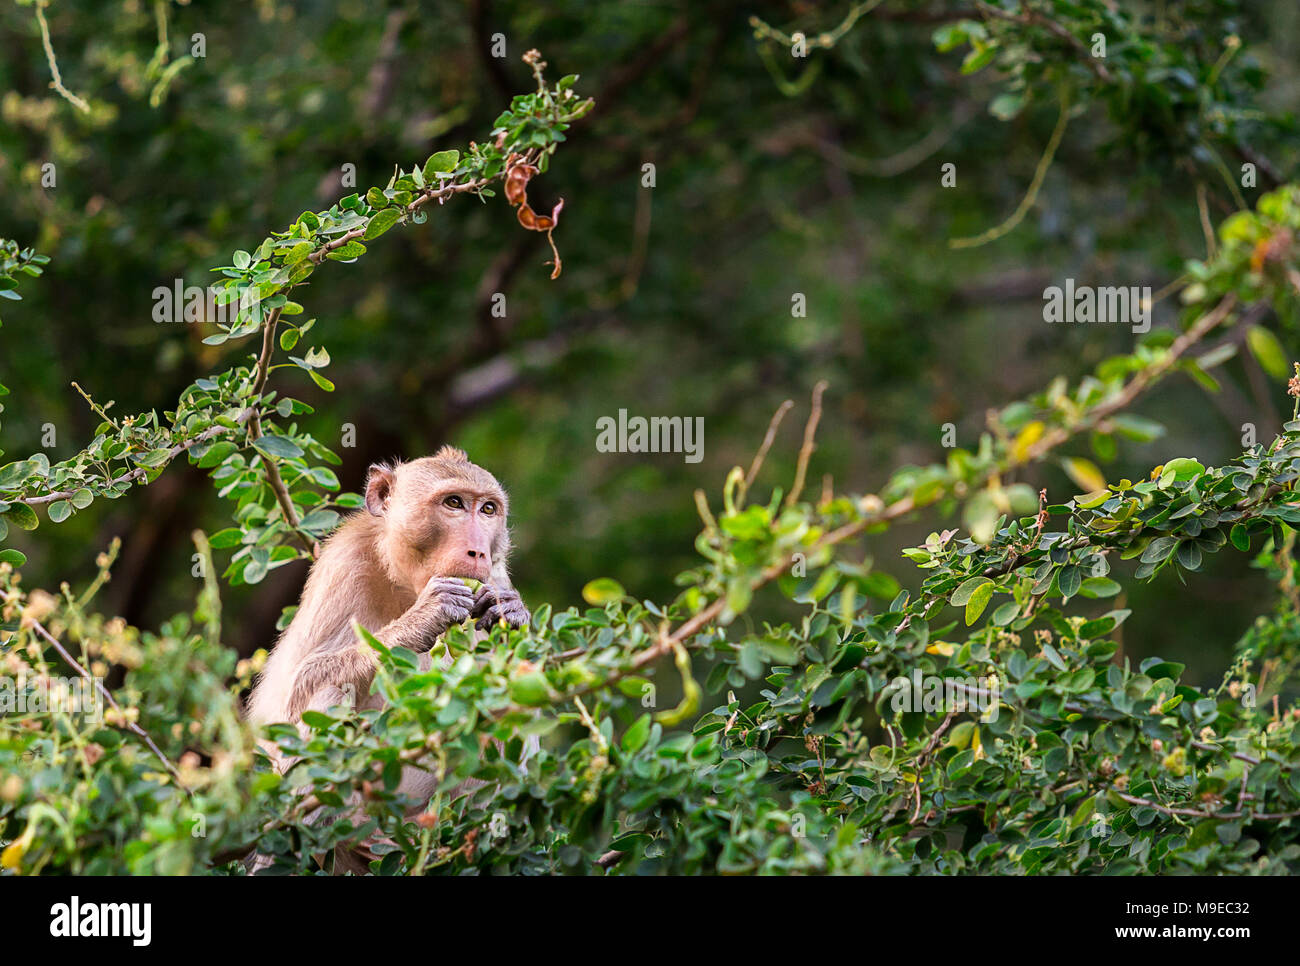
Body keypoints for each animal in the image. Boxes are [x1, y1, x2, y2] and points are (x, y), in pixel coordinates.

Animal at [244, 445, 529, 871]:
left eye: (488, 509)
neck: (405, 583)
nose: (478, 550)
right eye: (454, 503)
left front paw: (513, 613)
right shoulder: (345, 566)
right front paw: (422, 619)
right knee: (329, 692)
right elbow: (297, 691)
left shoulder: (494, 578)